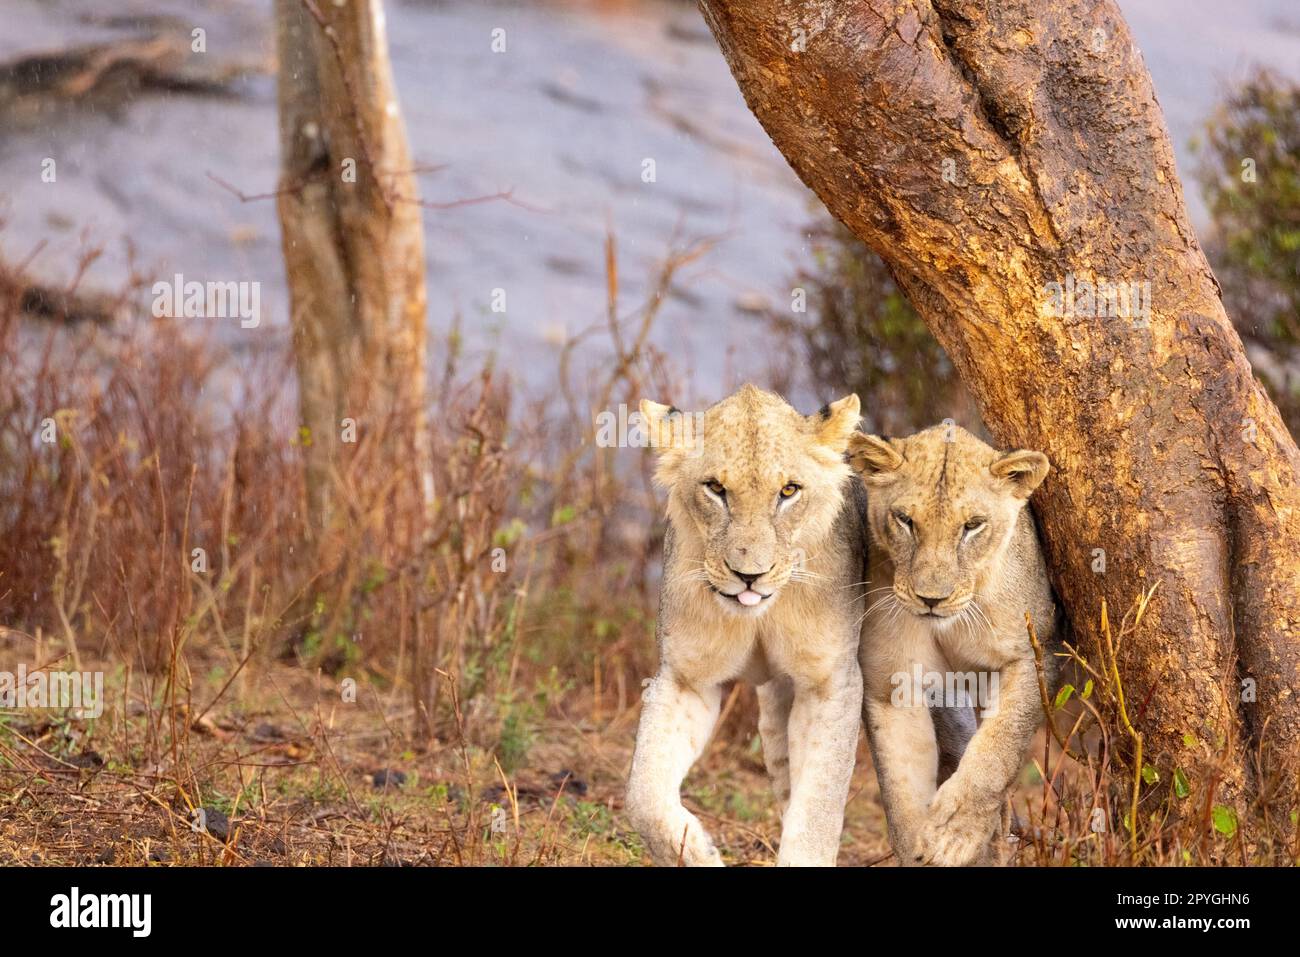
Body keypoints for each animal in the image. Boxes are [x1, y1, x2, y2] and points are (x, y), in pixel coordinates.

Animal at [625, 384, 866, 866]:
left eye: (789, 490)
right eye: (716, 488)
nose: (749, 575)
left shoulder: (832, 681)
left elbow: (820, 806)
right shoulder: (685, 680)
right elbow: (644, 797)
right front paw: (698, 852)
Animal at [848, 423, 1062, 866]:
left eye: (973, 525)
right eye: (905, 520)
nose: (932, 599)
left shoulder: (1033, 655)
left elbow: (997, 749)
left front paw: (955, 834)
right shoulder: (890, 680)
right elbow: (900, 790)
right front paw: (919, 847)